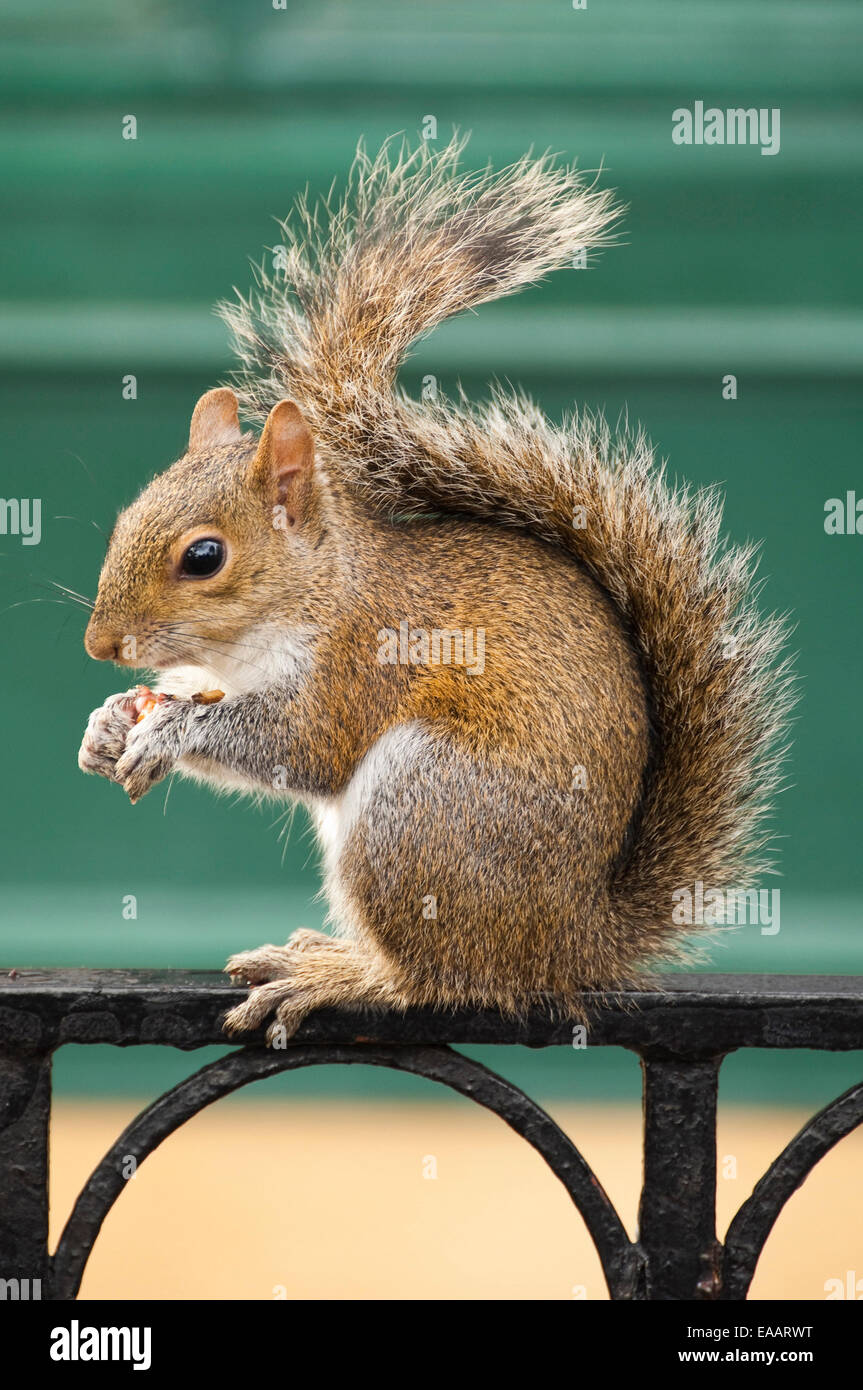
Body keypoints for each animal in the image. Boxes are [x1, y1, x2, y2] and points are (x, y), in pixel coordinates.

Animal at [78, 136, 794, 1041]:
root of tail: (571, 942)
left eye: (203, 557)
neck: (308, 598)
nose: (99, 645)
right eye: (124, 517)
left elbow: (297, 747)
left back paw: (337, 973)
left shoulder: (357, 663)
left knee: (435, 978)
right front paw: (108, 725)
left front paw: (168, 733)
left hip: (422, 806)